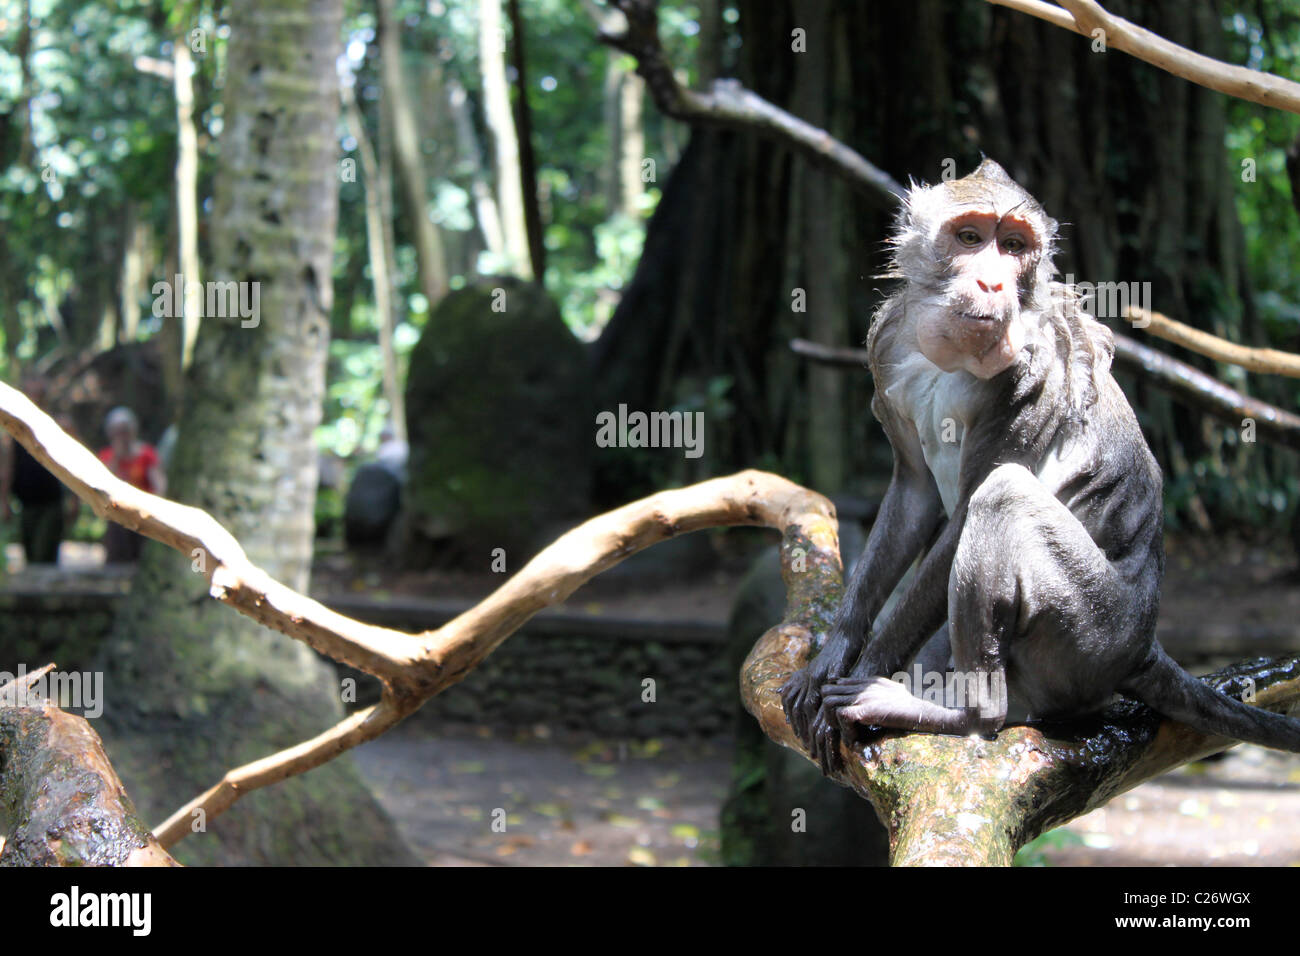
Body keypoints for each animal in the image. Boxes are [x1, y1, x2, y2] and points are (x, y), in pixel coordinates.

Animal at [781, 158, 1300, 775]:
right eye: (970, 238)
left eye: (1013, 246)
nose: (992, 283)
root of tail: (1143, 645)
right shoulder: (886, 339)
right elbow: (913, 491)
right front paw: (831, 658)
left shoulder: (1032, 371)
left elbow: (967, 512)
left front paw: (861, 673)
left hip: (1090, 632)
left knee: (1004, 496)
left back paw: (967, 713)